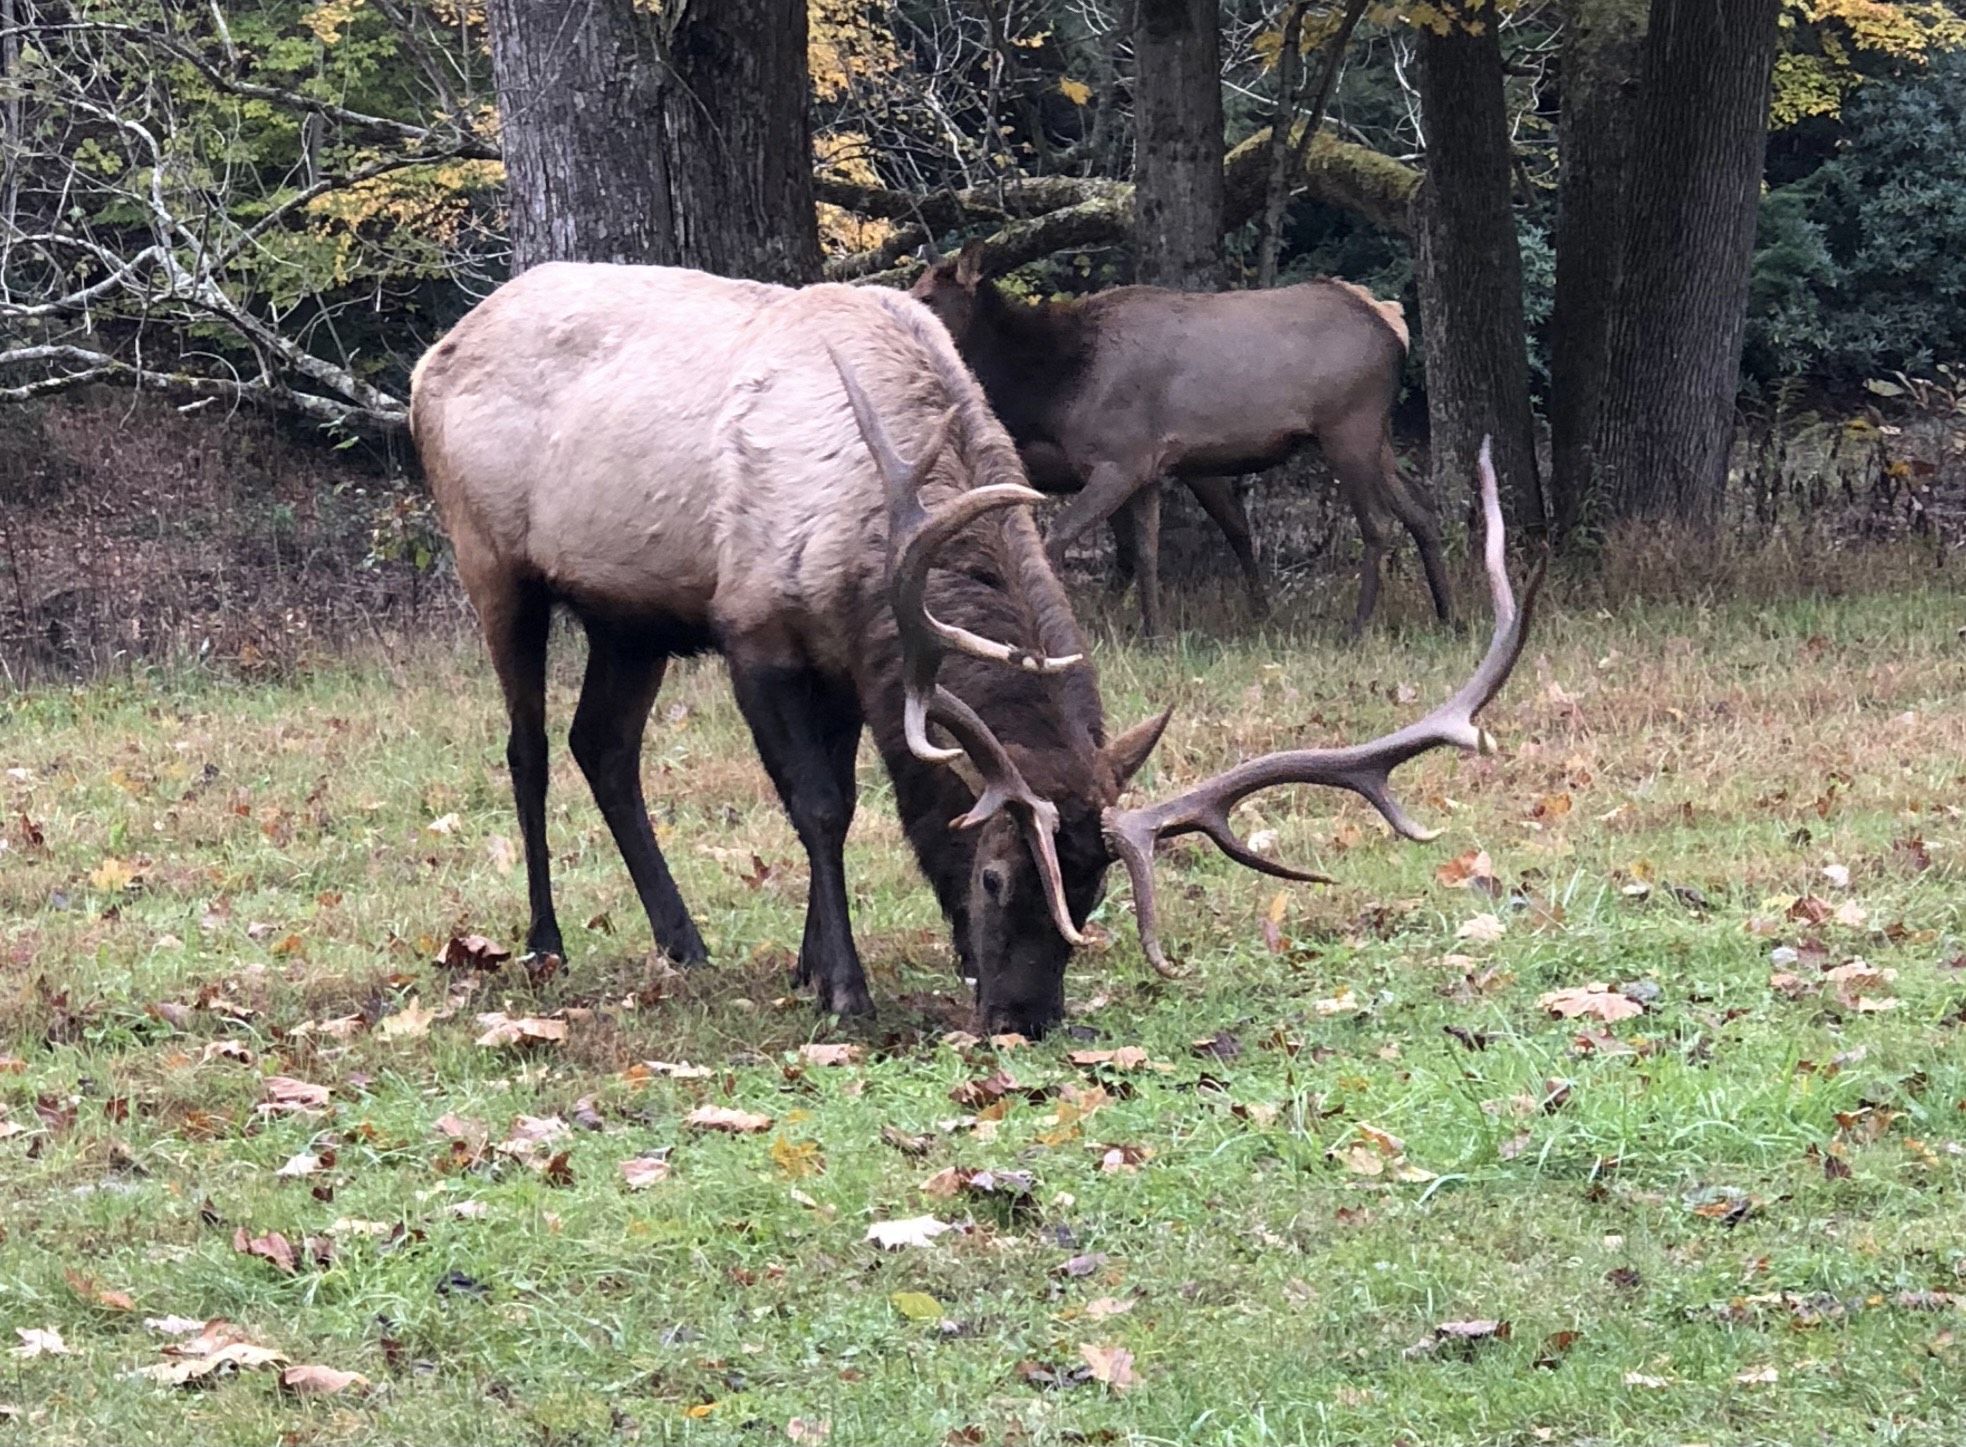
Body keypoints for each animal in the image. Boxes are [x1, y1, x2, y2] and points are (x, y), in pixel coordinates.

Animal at [910, 242, 1456, 638]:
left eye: (929, 297)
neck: (1055, 386)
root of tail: (1394, 325)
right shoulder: (1147, 468)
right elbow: (1147, 552)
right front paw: (1155, 634)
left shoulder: (1119, 459)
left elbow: (1060, 537)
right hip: (1376, 437)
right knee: (1420, 508)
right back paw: (1449, 616)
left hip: (1349, 425)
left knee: (1378, 522)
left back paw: (1358, 627)